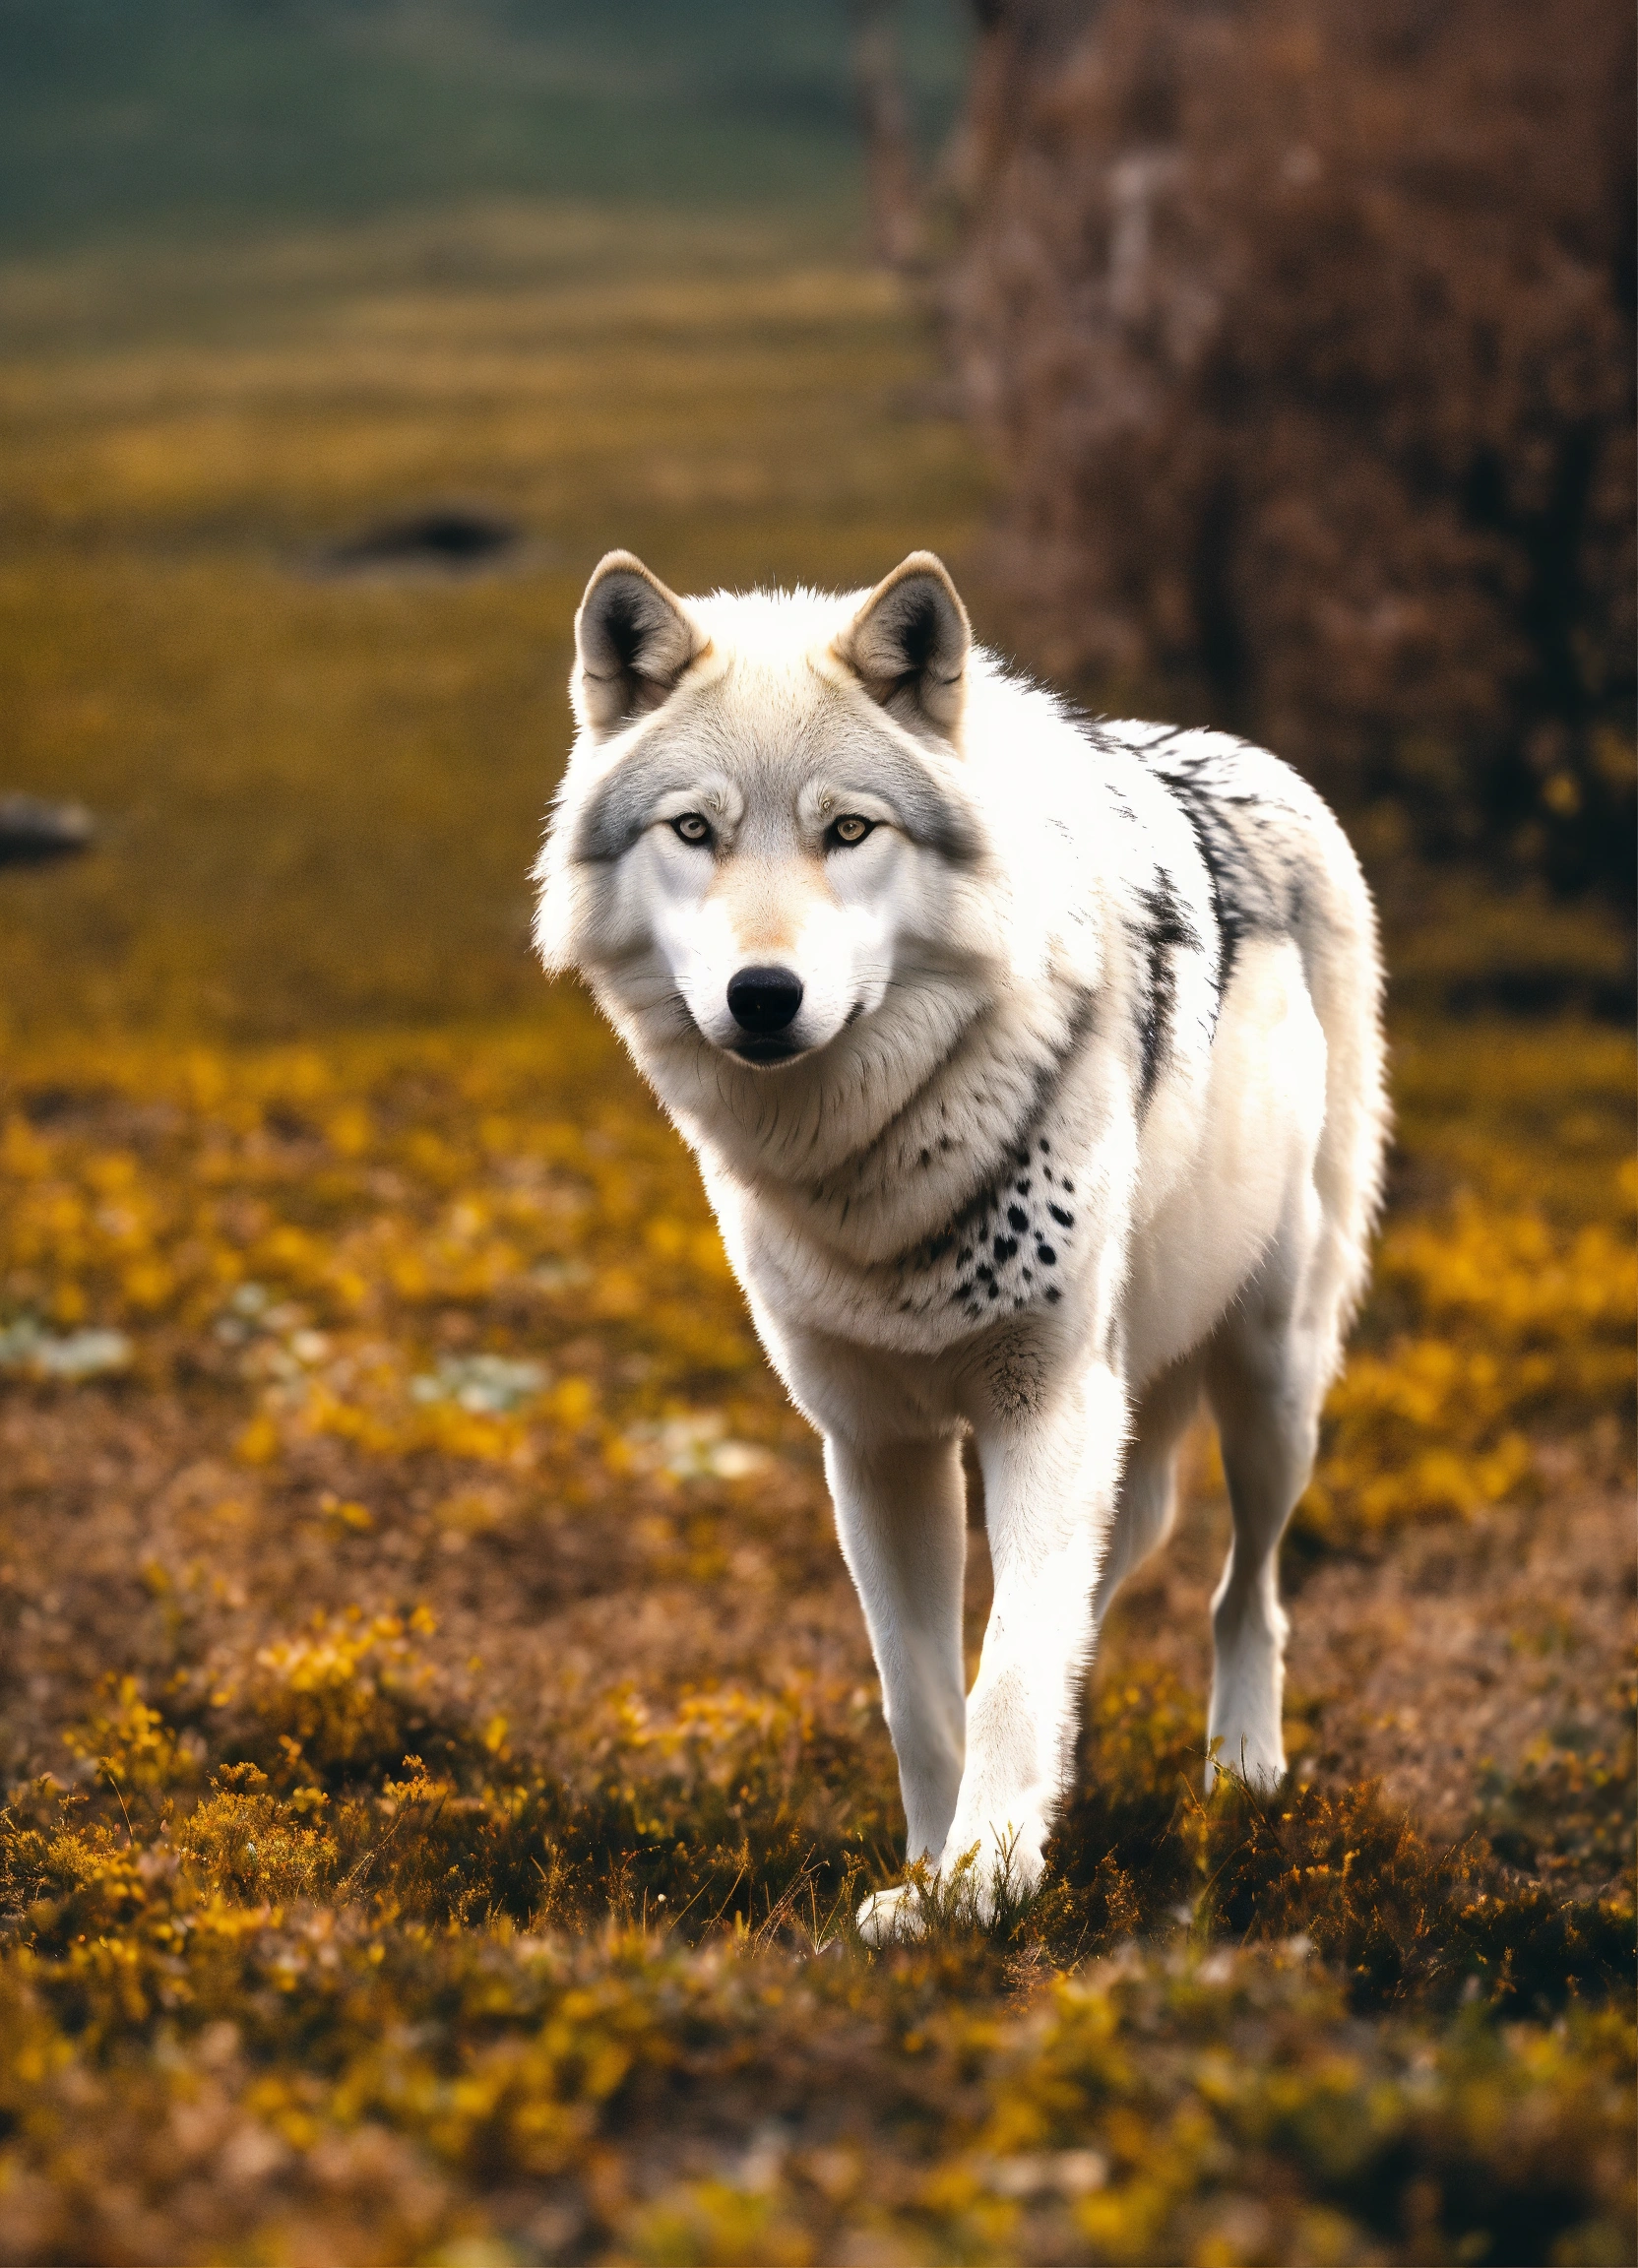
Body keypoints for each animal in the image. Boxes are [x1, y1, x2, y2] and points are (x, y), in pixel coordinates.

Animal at [534, 549, 1387, 1937]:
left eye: (847, 831)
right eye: (694, 831)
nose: (762, 998)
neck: (868, 1171)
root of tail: (1238, 749)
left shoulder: (1044, 1405)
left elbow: (1008, 1668)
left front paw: (986, 1883)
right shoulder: (874, 1445)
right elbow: (925, 1690)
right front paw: (936, 1876)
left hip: (1270, 1379)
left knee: (1242, 1590)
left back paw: (1241, 1777)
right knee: (1117, 1562)